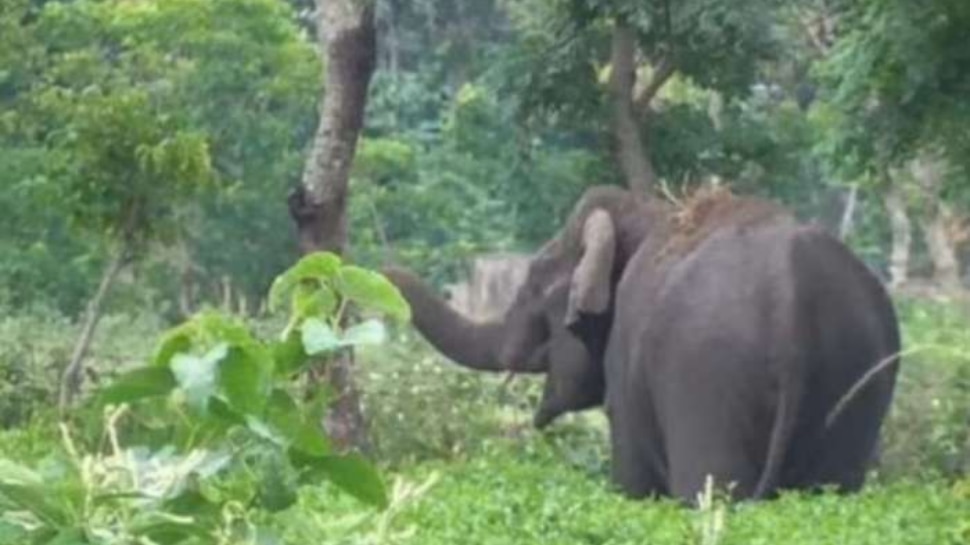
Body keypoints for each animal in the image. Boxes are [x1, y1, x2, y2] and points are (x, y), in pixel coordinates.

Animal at [383, 185, 900, 502]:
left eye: (534, 287)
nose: (381, 269)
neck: (651, 210)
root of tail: (796, 303)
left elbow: (631, 476)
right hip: (858, 381)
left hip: (707, 378)